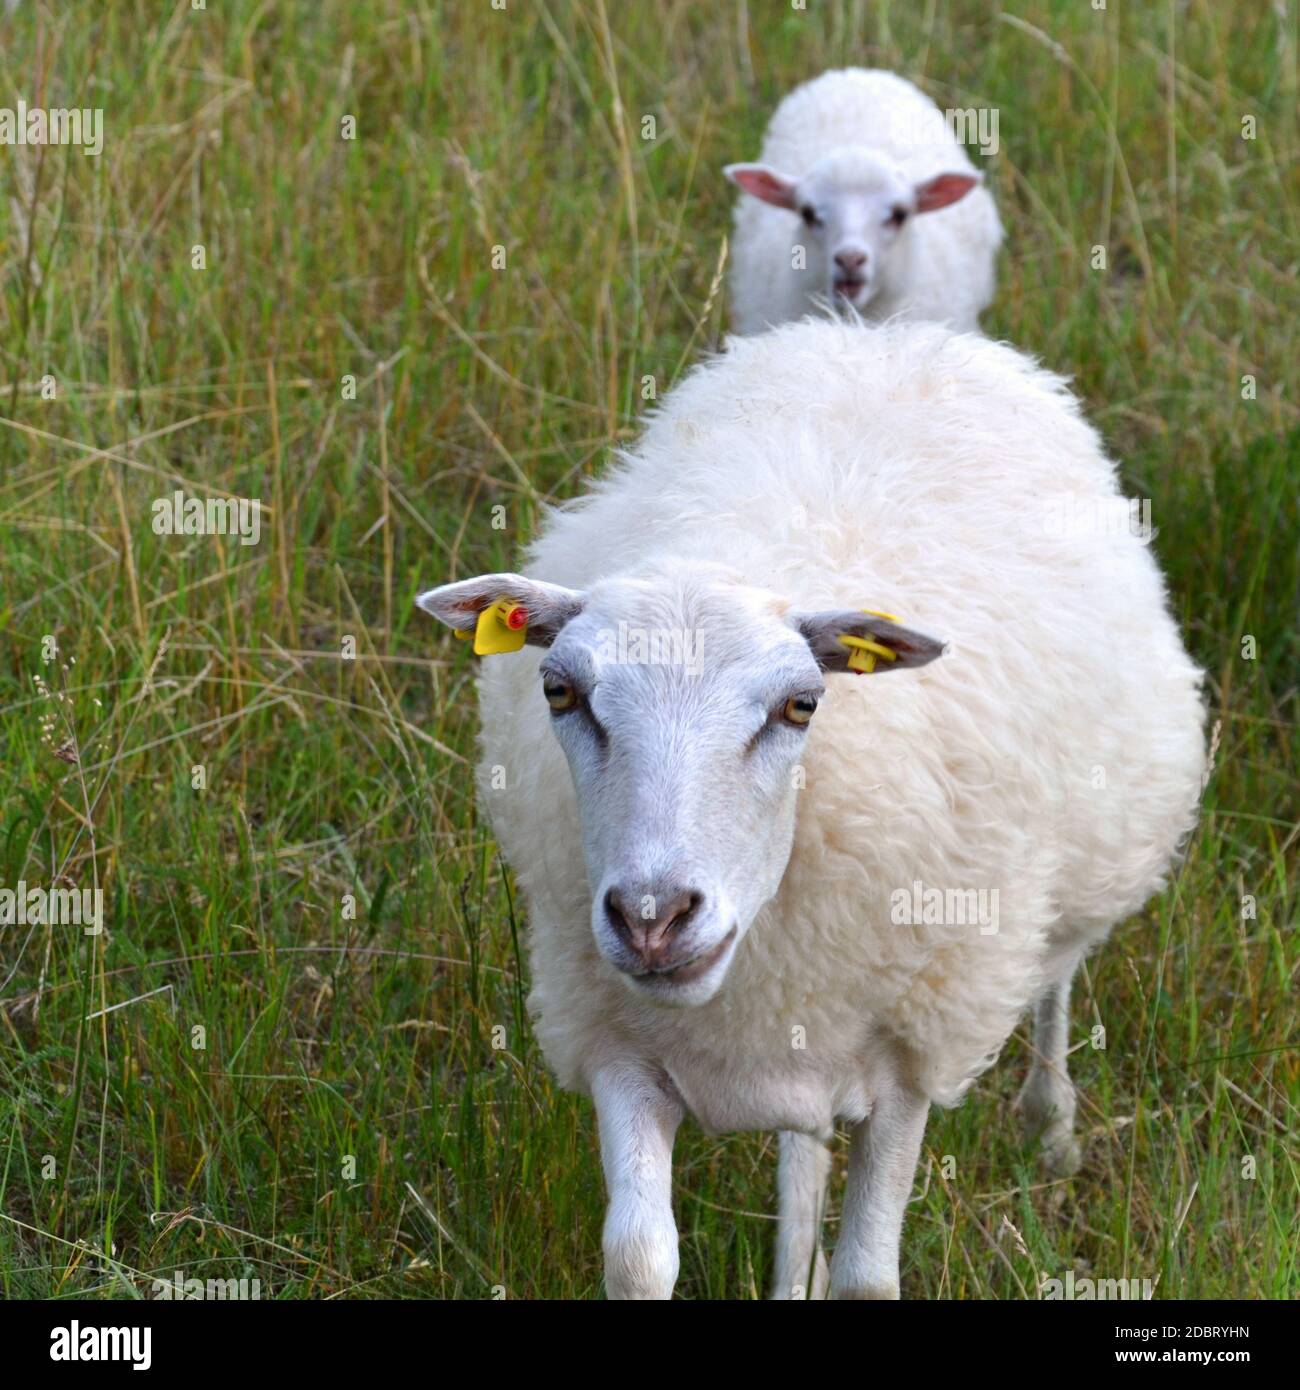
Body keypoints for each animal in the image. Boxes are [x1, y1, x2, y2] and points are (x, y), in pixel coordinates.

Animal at [416, 318, 1206, 1300]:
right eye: (560, 690)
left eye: (801, 705)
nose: (652, 918)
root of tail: (887, 333)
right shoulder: (615, 1042)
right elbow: (639, 1258)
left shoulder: (911, 1055)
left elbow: (870, 1275)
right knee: (803, 1147)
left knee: (1057, 969)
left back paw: (1049, 1124)